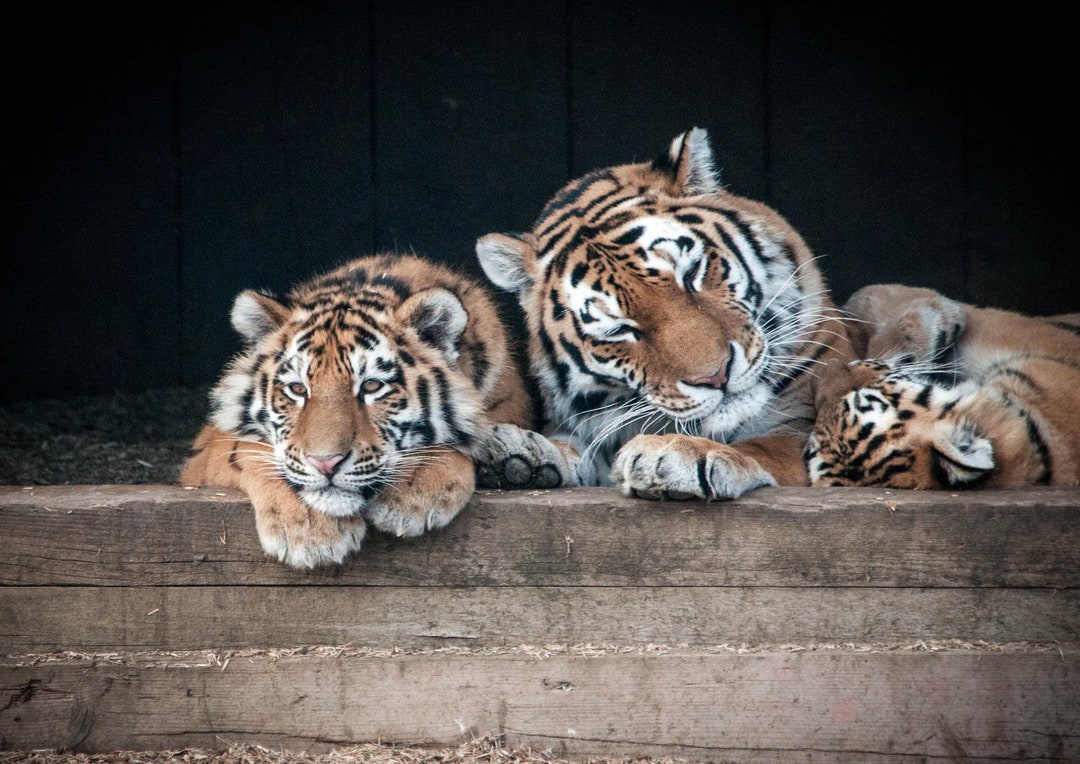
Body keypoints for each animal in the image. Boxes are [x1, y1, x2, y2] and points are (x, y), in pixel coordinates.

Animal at [180, 252, 555, 569]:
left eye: (372, 386)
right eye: (298, 389)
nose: (325, 463)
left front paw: (410, 497)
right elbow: (248, 451)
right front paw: (308, 530)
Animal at [475, 127, 857, 499]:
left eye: (691, 274)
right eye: (618, 330)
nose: (717, 376)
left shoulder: (802, 426)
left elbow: (764, 445)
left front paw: (678, 452)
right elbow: (572, 446)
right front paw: (518, 452)